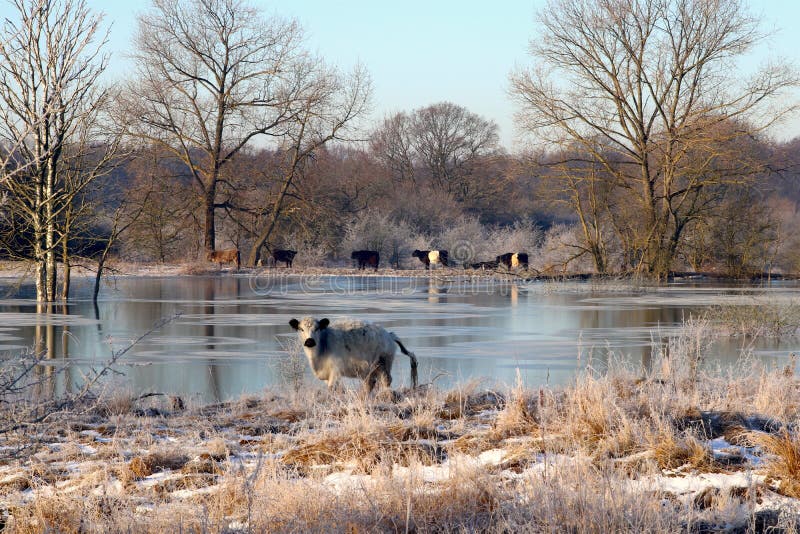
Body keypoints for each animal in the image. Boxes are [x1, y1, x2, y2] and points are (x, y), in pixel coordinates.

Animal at [289, 317, 418, 392]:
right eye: (301, 329)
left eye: (317, 328)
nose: (310, 341)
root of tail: (389, 334)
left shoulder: (336, 371)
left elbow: (332, 389)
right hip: (370, 369)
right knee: (370, 383)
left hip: (383, 364)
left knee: (386, 380)